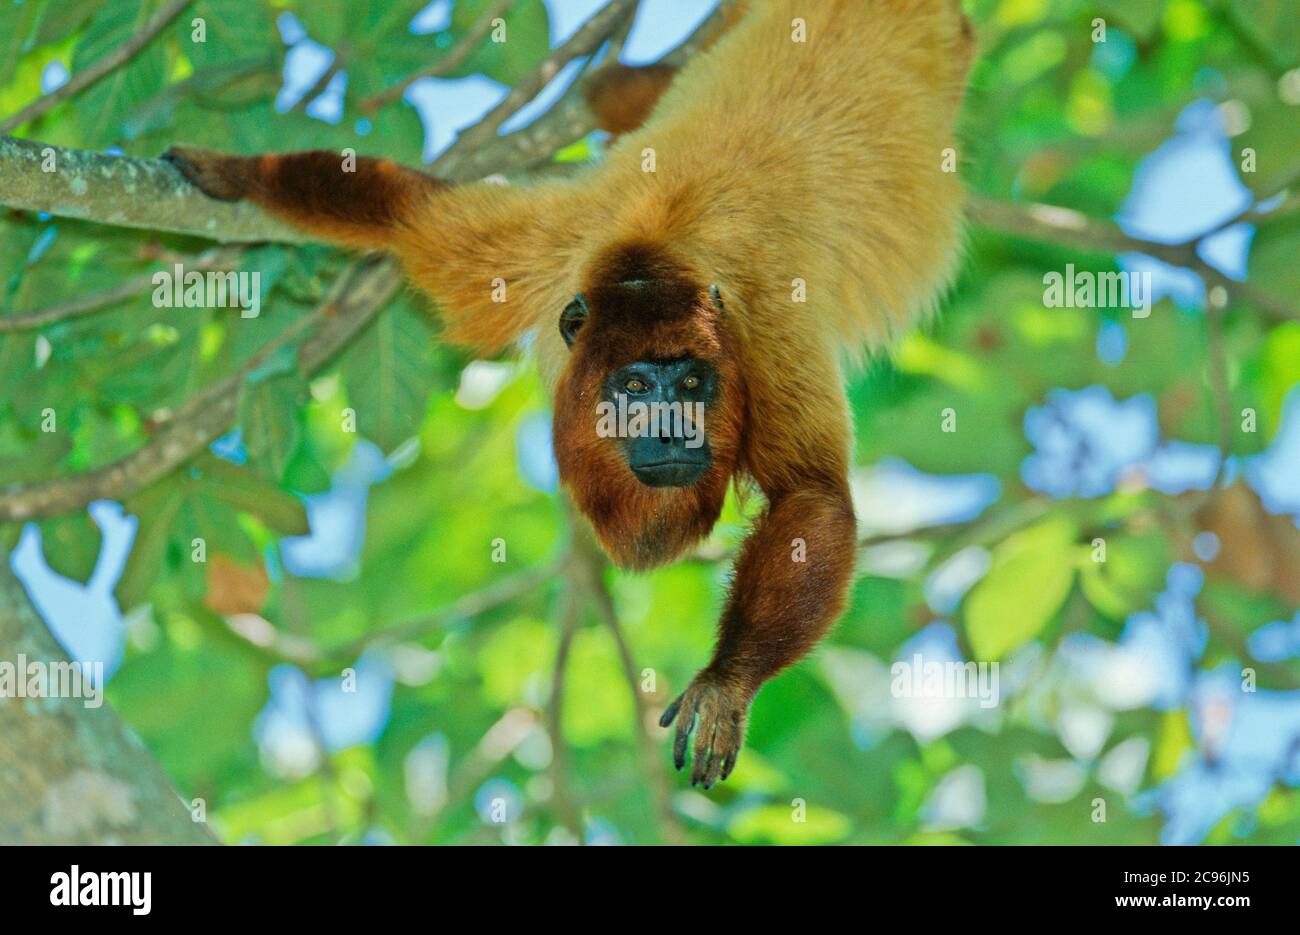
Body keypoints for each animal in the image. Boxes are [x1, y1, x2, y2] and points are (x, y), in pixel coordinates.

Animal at [163, 0, 975, 789]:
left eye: (693, 384)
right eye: (637, 386)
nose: (676, 432)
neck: (661, 247)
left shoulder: (765, 329)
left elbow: (812, 497)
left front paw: (727, 680)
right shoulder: (529, 250)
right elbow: (402, 210)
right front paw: (230, 172)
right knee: (614, 89)